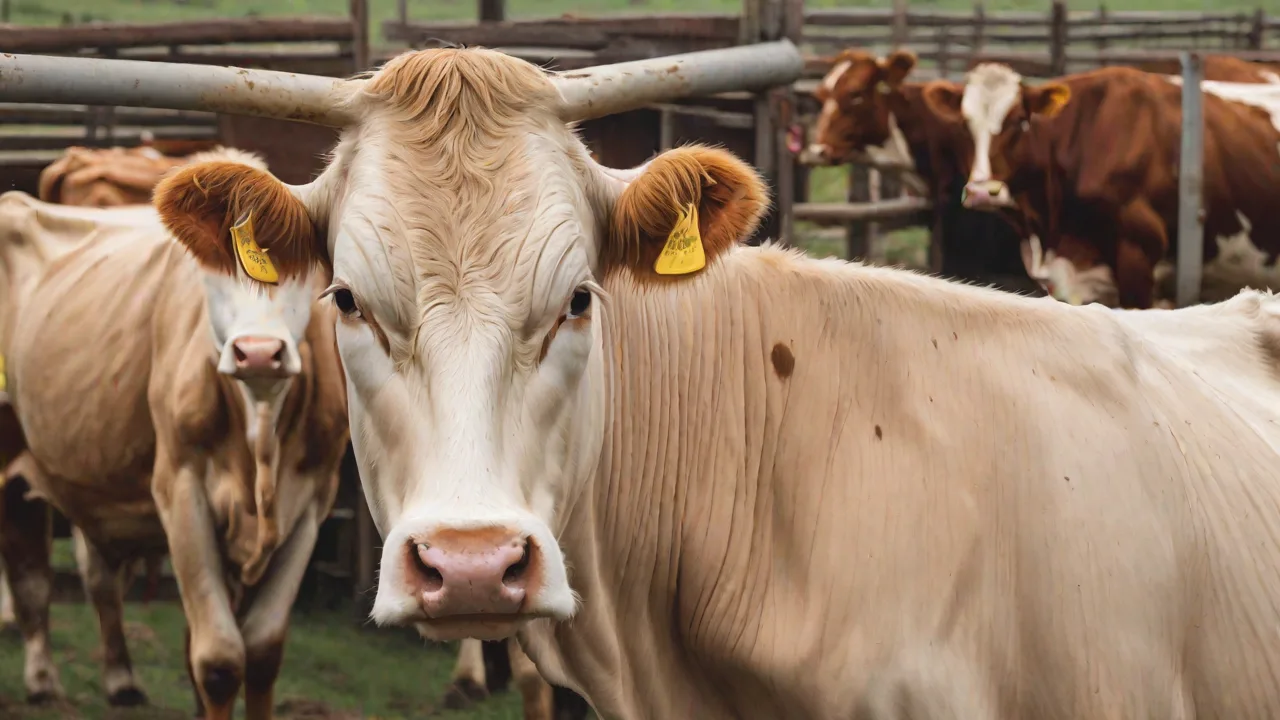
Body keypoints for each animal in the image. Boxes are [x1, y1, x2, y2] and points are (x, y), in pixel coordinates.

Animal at [0, 153, 349, 720]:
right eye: (215, 271)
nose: (257, 353)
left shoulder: (311, 506)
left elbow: (261, 652)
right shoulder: (181, 493)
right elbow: (218, 659)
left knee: (98, 578)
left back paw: (120, 678)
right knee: (31, 576)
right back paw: (42, 677)